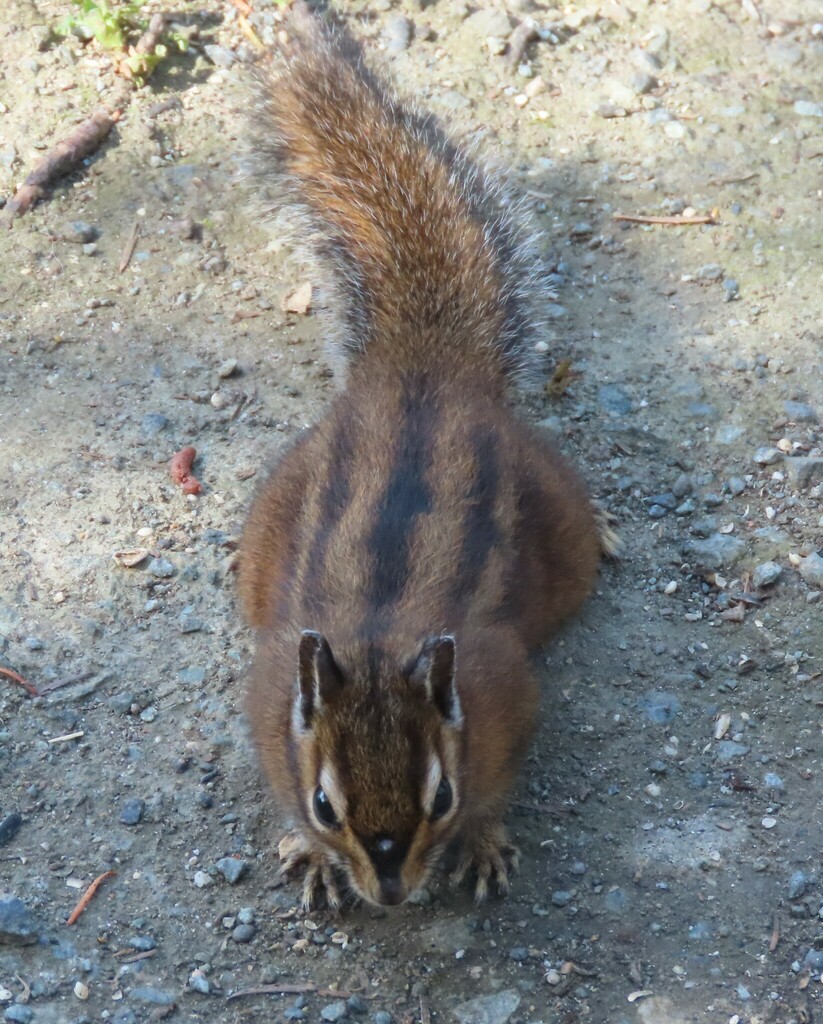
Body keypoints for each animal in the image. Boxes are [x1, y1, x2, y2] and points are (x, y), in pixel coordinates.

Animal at [239, 4, 616, 910]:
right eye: (324, 805)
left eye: (439, 797)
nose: (390, 894)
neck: (379, 636)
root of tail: (422, 366)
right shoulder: (269, 705)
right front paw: (309, 855)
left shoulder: (506, 694)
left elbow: (498, 788)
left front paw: (481, 842)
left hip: (557, 517)